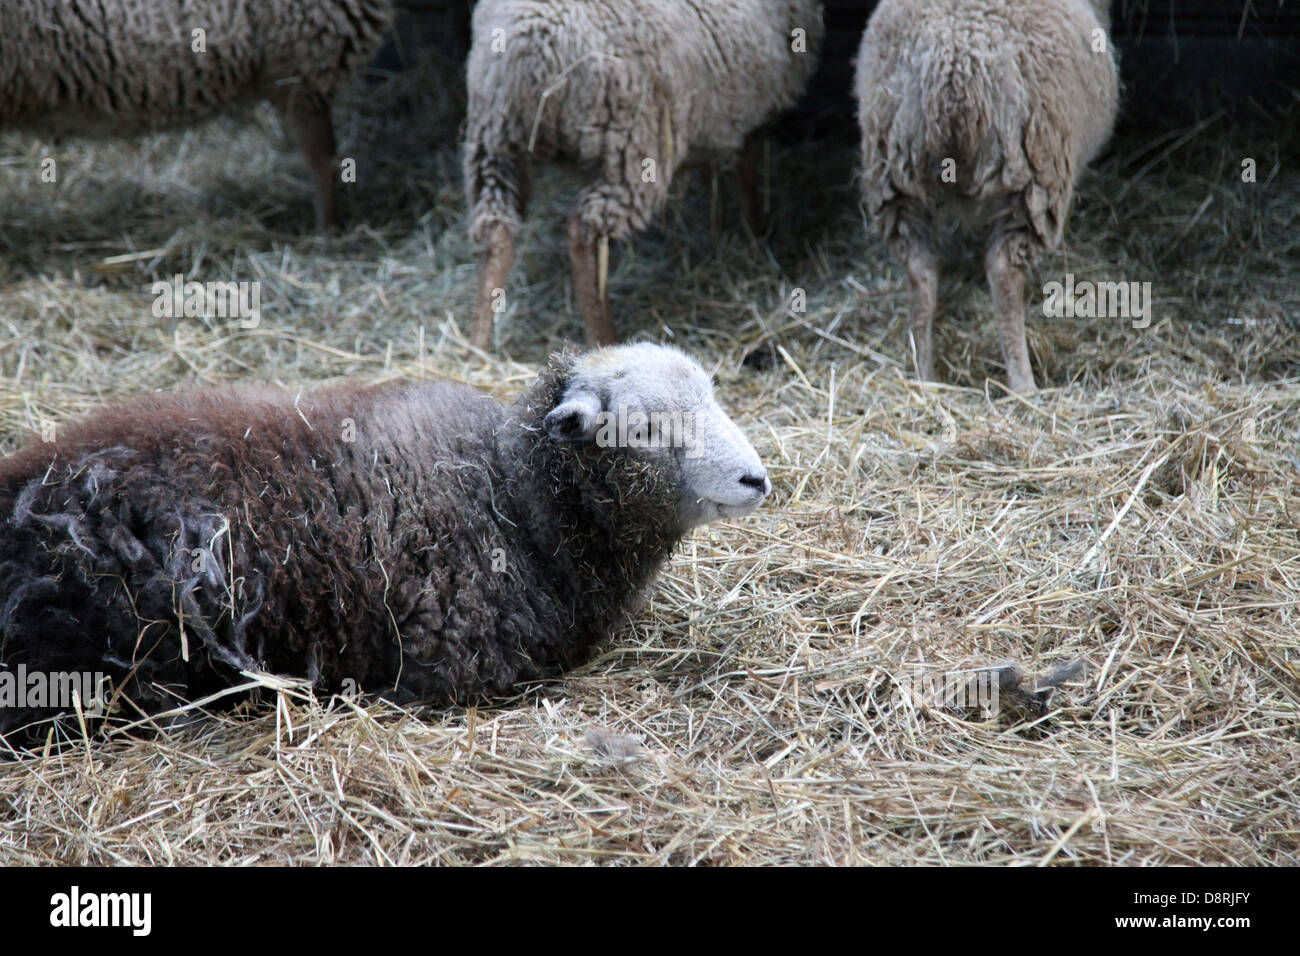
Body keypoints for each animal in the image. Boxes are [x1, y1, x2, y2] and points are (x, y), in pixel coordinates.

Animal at [464, 0, 824, 350]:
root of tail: (532, 46)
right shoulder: (755, 110)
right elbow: (748, 173)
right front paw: (757, 236)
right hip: (633, 148)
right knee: (583, 234)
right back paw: (604, 338)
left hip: (494, 143)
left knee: (497, 232)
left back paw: (476, 348)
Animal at [855, 0, 1119, 392]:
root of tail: (952, 67)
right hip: (1035, 172)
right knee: (1003, 272)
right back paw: (1024, 384)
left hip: (893, 173)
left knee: (920, 271)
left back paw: (925, 375)